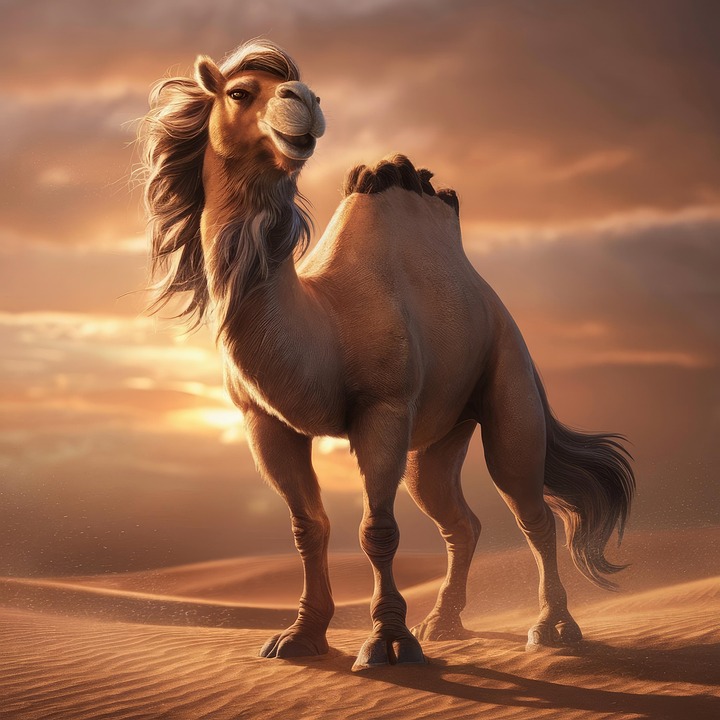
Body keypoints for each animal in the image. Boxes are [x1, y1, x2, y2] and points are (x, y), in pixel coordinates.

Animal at [139, 40, 635, 670]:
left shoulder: (384, 411)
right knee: (460, 520)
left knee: (534, 512)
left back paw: (554, 629)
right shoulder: (265, 423)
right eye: (239, 91)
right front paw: (301, 637)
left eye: (311, 90)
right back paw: (444, 623)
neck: (324, 320)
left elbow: (377, 531)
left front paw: (387, 644)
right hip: (440, 435)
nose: (305, 103)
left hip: (510, 381)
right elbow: (308, 527)